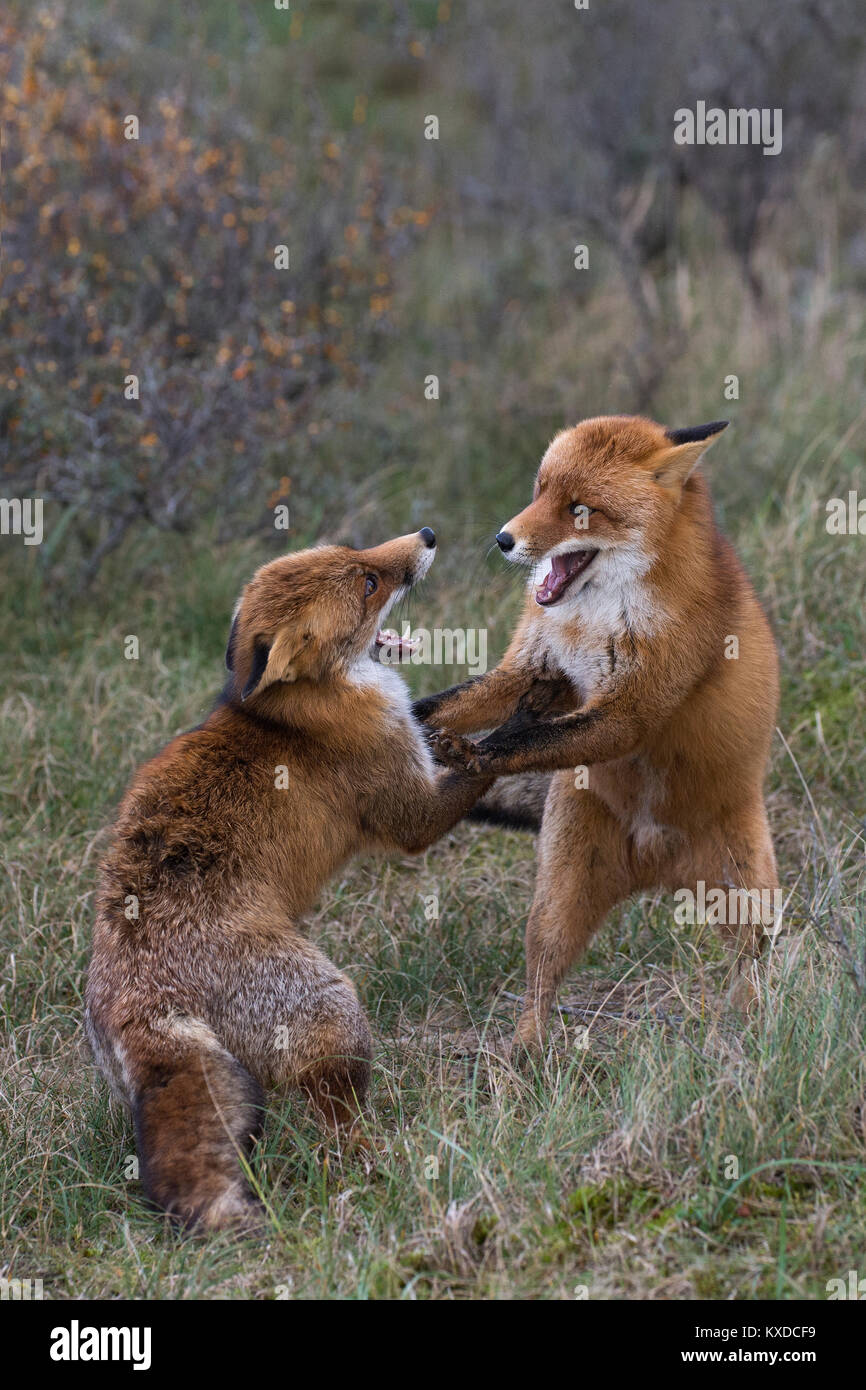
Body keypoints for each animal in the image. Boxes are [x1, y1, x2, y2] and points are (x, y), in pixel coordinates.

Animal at [85, 528, 494, 1230]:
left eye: (358, 552)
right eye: (368, 583)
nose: (427, 536)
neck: (300, 710)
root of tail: (137, 993)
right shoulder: (409, 812)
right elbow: (483, 766)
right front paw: (532, 716)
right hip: (334, 1013)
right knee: (338, 1123)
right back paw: (374, 1165)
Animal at [413, 415, 780, 1056]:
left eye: (580, 510)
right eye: (540, 491)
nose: (503, 539)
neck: (593, 621)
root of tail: (656, 869)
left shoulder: (628, 713)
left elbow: (520, 744)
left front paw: (474, 754)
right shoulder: (531, 667)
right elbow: (450, 705)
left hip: (749, 899)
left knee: (748, 966)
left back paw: (754, 1032)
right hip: (558, 901)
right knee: (542, 974)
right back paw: (524, 1056)